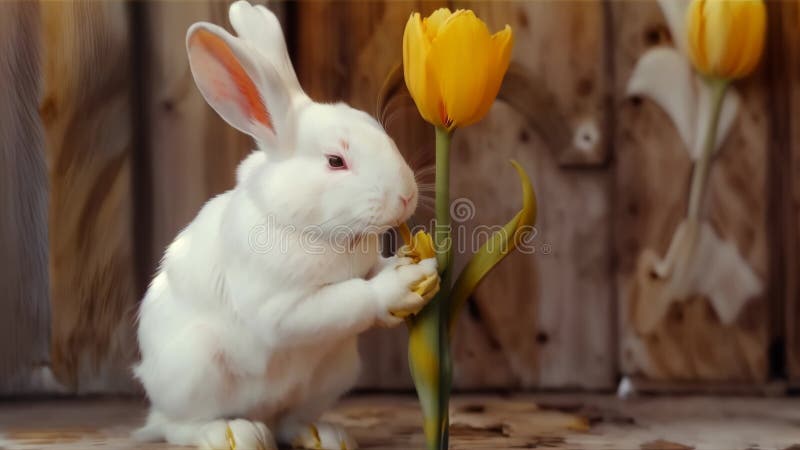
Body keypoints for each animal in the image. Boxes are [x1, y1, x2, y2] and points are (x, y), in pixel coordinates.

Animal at [132, 2, 437, 449]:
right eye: (335, 161)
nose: (405, 196)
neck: (318, 233)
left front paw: (415, 270)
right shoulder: (279, 308)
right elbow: (347, 299)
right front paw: (399, 285)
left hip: (334, 370)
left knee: (288, 421)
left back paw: (323, 434)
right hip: (193, 371)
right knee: (177, 425)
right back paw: (231, 433)